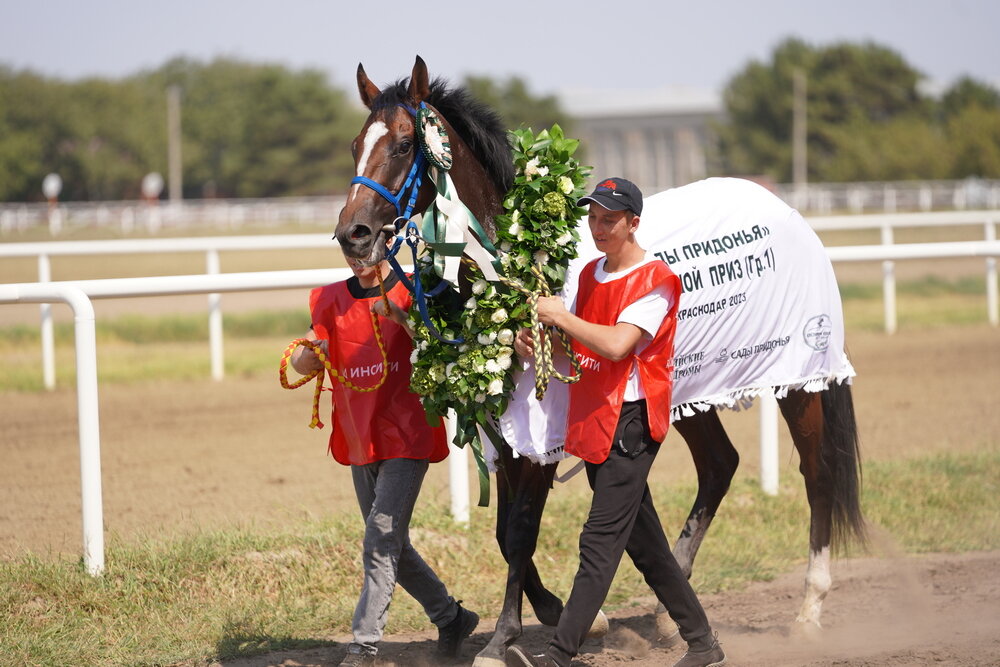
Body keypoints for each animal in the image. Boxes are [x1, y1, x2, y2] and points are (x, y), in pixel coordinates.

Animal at [338, 57, 868, 667]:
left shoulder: (543, 427)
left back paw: (809, 607)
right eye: (355, 144)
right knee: (720, 465)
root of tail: (787, 210)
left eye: (404, 144)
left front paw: (503, 637)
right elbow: (504, 531)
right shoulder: (503, 425)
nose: (352, 234)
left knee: (818, 470)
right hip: (679, 391)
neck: (514, 261)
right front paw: (569, 615)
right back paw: (667, 613)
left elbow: (520, 529)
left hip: (803, 375)